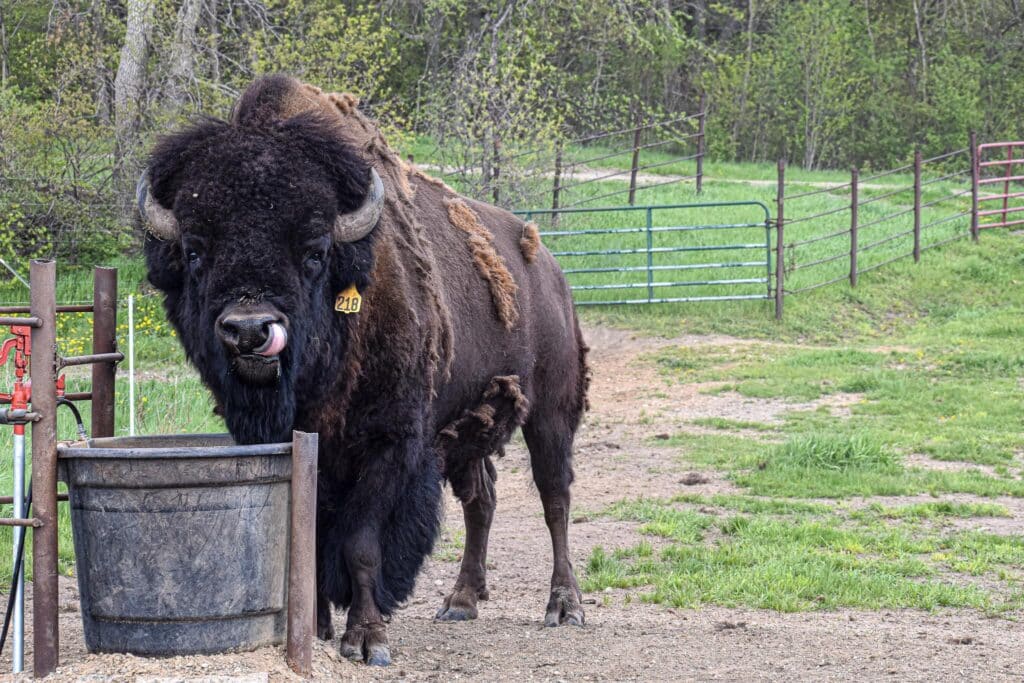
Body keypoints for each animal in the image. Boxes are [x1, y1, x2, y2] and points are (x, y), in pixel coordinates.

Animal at [138, 75, 590, 665]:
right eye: (194, 252)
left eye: (314, 251)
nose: (249, 330)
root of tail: (552, 272)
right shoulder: (294, 450)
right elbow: (308, 538)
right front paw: (316, 628)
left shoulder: (388, 445)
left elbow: (361, 544)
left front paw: (368, 639)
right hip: (468, 427)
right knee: (481, 499)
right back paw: (461, 601)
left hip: (551, 415)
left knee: (554, 497)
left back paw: (564, 606)